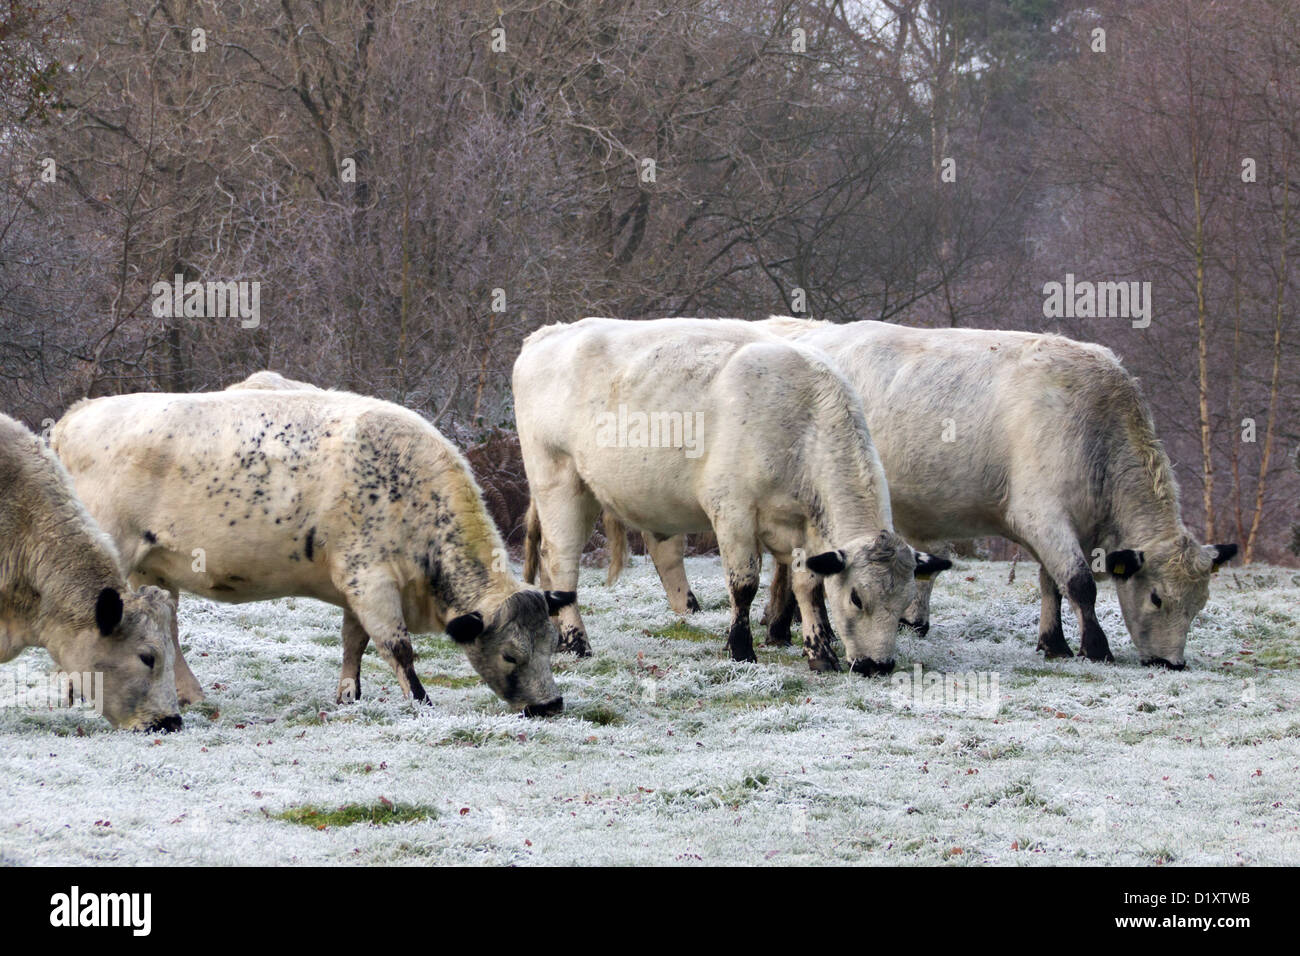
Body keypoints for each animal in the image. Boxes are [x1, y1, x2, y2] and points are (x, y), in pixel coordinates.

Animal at [50, 381, 573, 715]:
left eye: (552, 645)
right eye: (510, 655)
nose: (551, 705)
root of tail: (77, 413)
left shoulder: (356, 588)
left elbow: (354, 642)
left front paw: (349, 696)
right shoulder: (371, 581)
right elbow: (398, 647)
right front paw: (422, 703)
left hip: (154, 571)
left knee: (167, 632)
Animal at [514, 317, 950, 675]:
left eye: (905, 601)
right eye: (857, 598)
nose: (879, 666)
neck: (803, 422)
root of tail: (547, 334)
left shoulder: (808, 527)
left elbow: (807, 585)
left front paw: (820, 653)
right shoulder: (733, 512)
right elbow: (744, 584)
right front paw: (740, 649)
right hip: (559, 480)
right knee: (562, 560)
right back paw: (577, 643)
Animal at [630, 317, 1237, 669]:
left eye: (1199, 605)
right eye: (1156, 598)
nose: (1171, 663)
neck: (1097, 424)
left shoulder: (1063, 526)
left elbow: (1052, 584)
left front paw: (1054, 642)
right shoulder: (1042, 514)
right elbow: (1082, 585)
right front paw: (1096, 648)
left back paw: (782, 626)